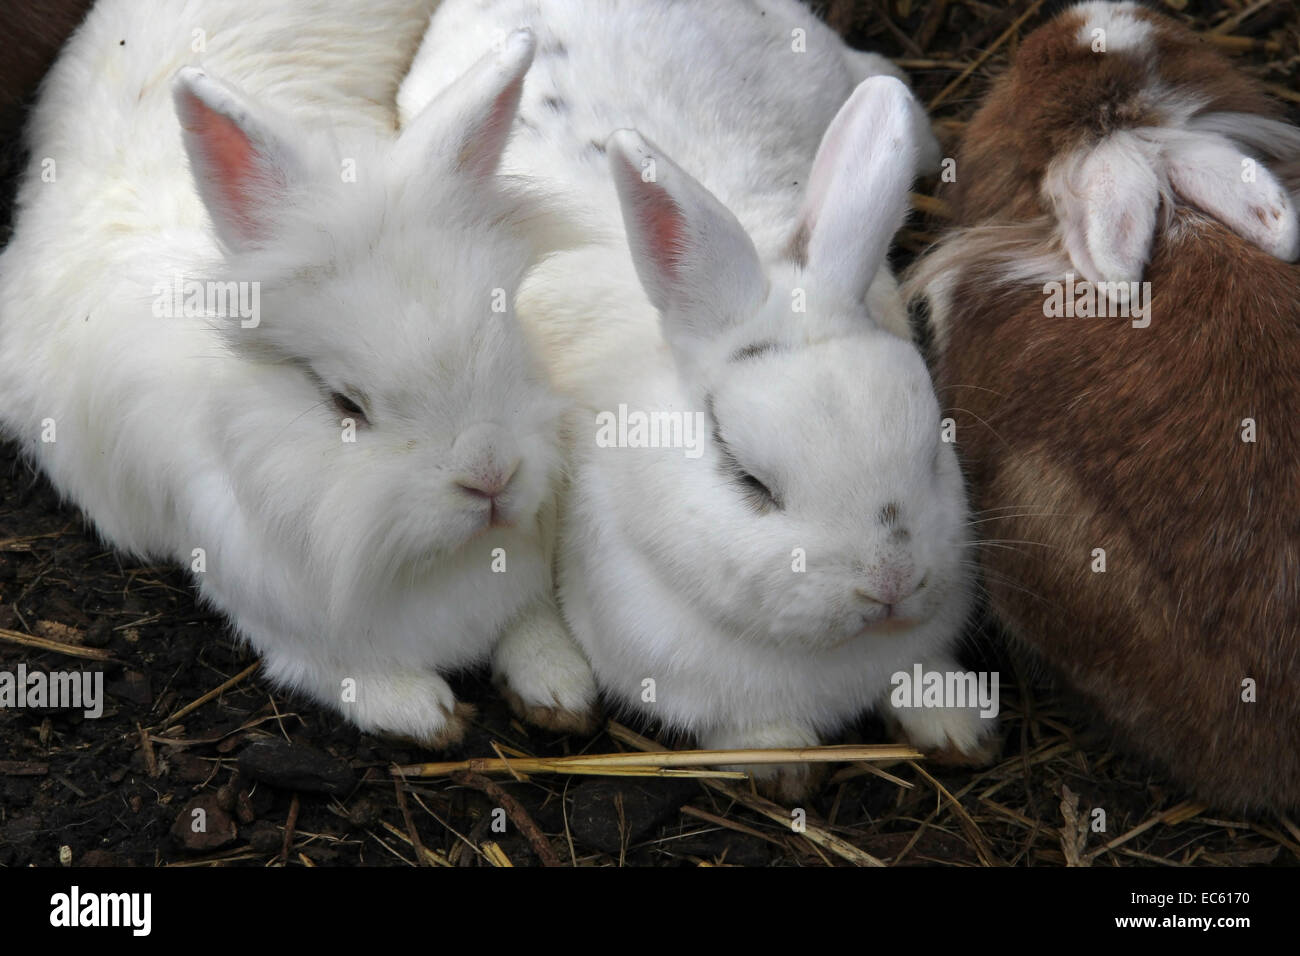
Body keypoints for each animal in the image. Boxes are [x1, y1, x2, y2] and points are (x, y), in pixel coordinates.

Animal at [0, 0, 598, 746]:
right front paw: (424, 713)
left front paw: (560, 686)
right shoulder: (272, 610)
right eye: (345, 403)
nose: (490, 477)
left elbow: (533, 625)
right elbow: (337, 671)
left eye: (506, 332)